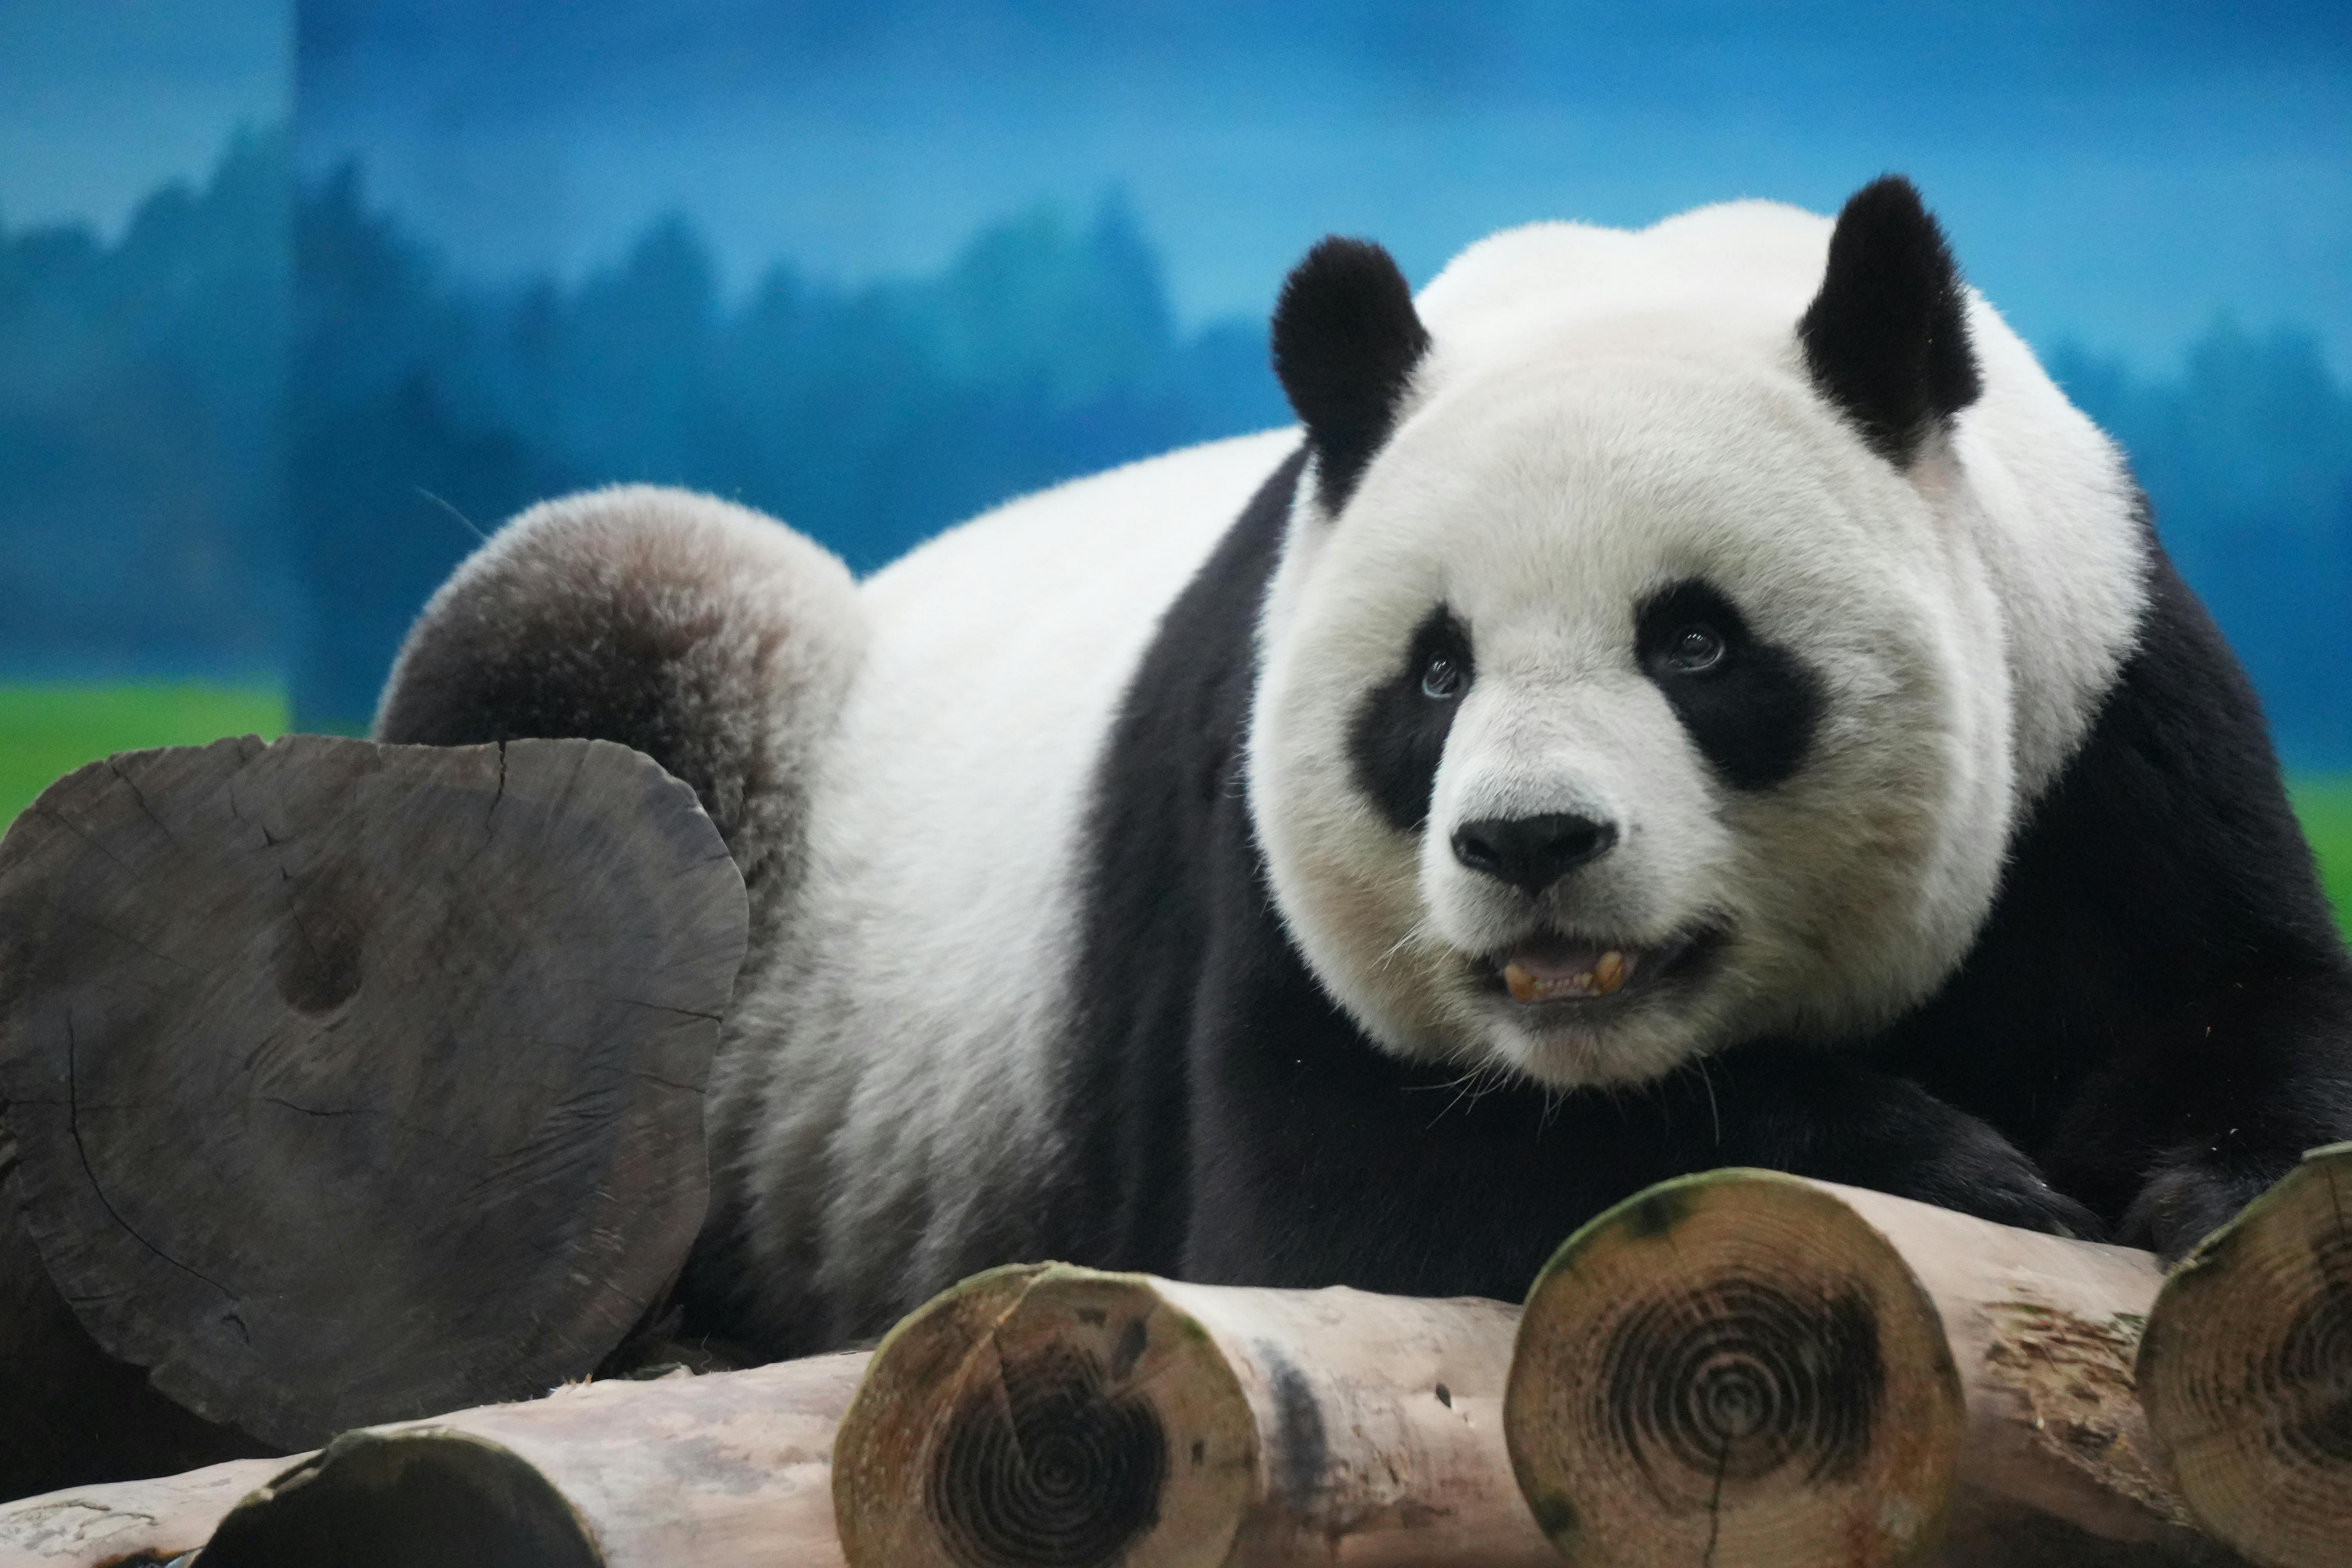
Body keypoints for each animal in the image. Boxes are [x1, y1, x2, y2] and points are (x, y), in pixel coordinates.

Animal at [377, 176, 2352, 1359]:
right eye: (1432, 672)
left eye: (1697, 644)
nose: (1531, 841)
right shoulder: (1249, 855)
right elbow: (1336, 1184)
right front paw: (1961, 1170)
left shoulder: (2095, 713)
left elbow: (2242, 993)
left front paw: (2215, 1183)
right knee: (582, 630)